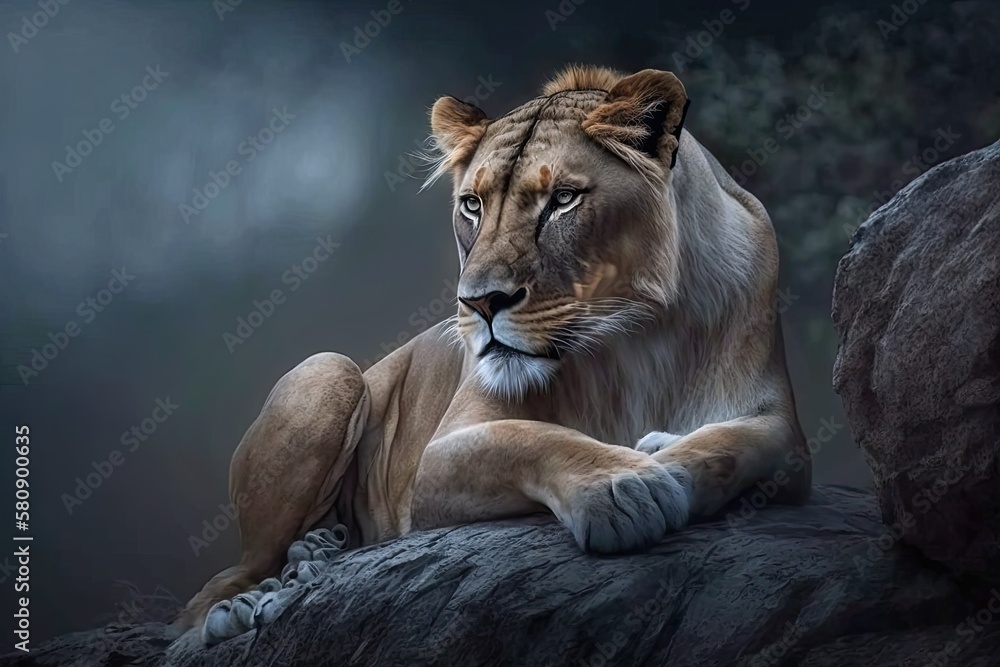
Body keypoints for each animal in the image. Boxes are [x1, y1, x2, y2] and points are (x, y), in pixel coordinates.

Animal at [176, 65, 810, 645]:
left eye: (562, 200)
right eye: (473, 205)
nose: (480, 302)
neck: (635, 335)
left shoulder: (781, 428)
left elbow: (739, 445)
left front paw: (665, 457)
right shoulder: (438, 457)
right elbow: (531, 439)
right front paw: (624, 485)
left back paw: (312, 557)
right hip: (327, 369)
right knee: (215, 588)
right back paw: (243, 607)